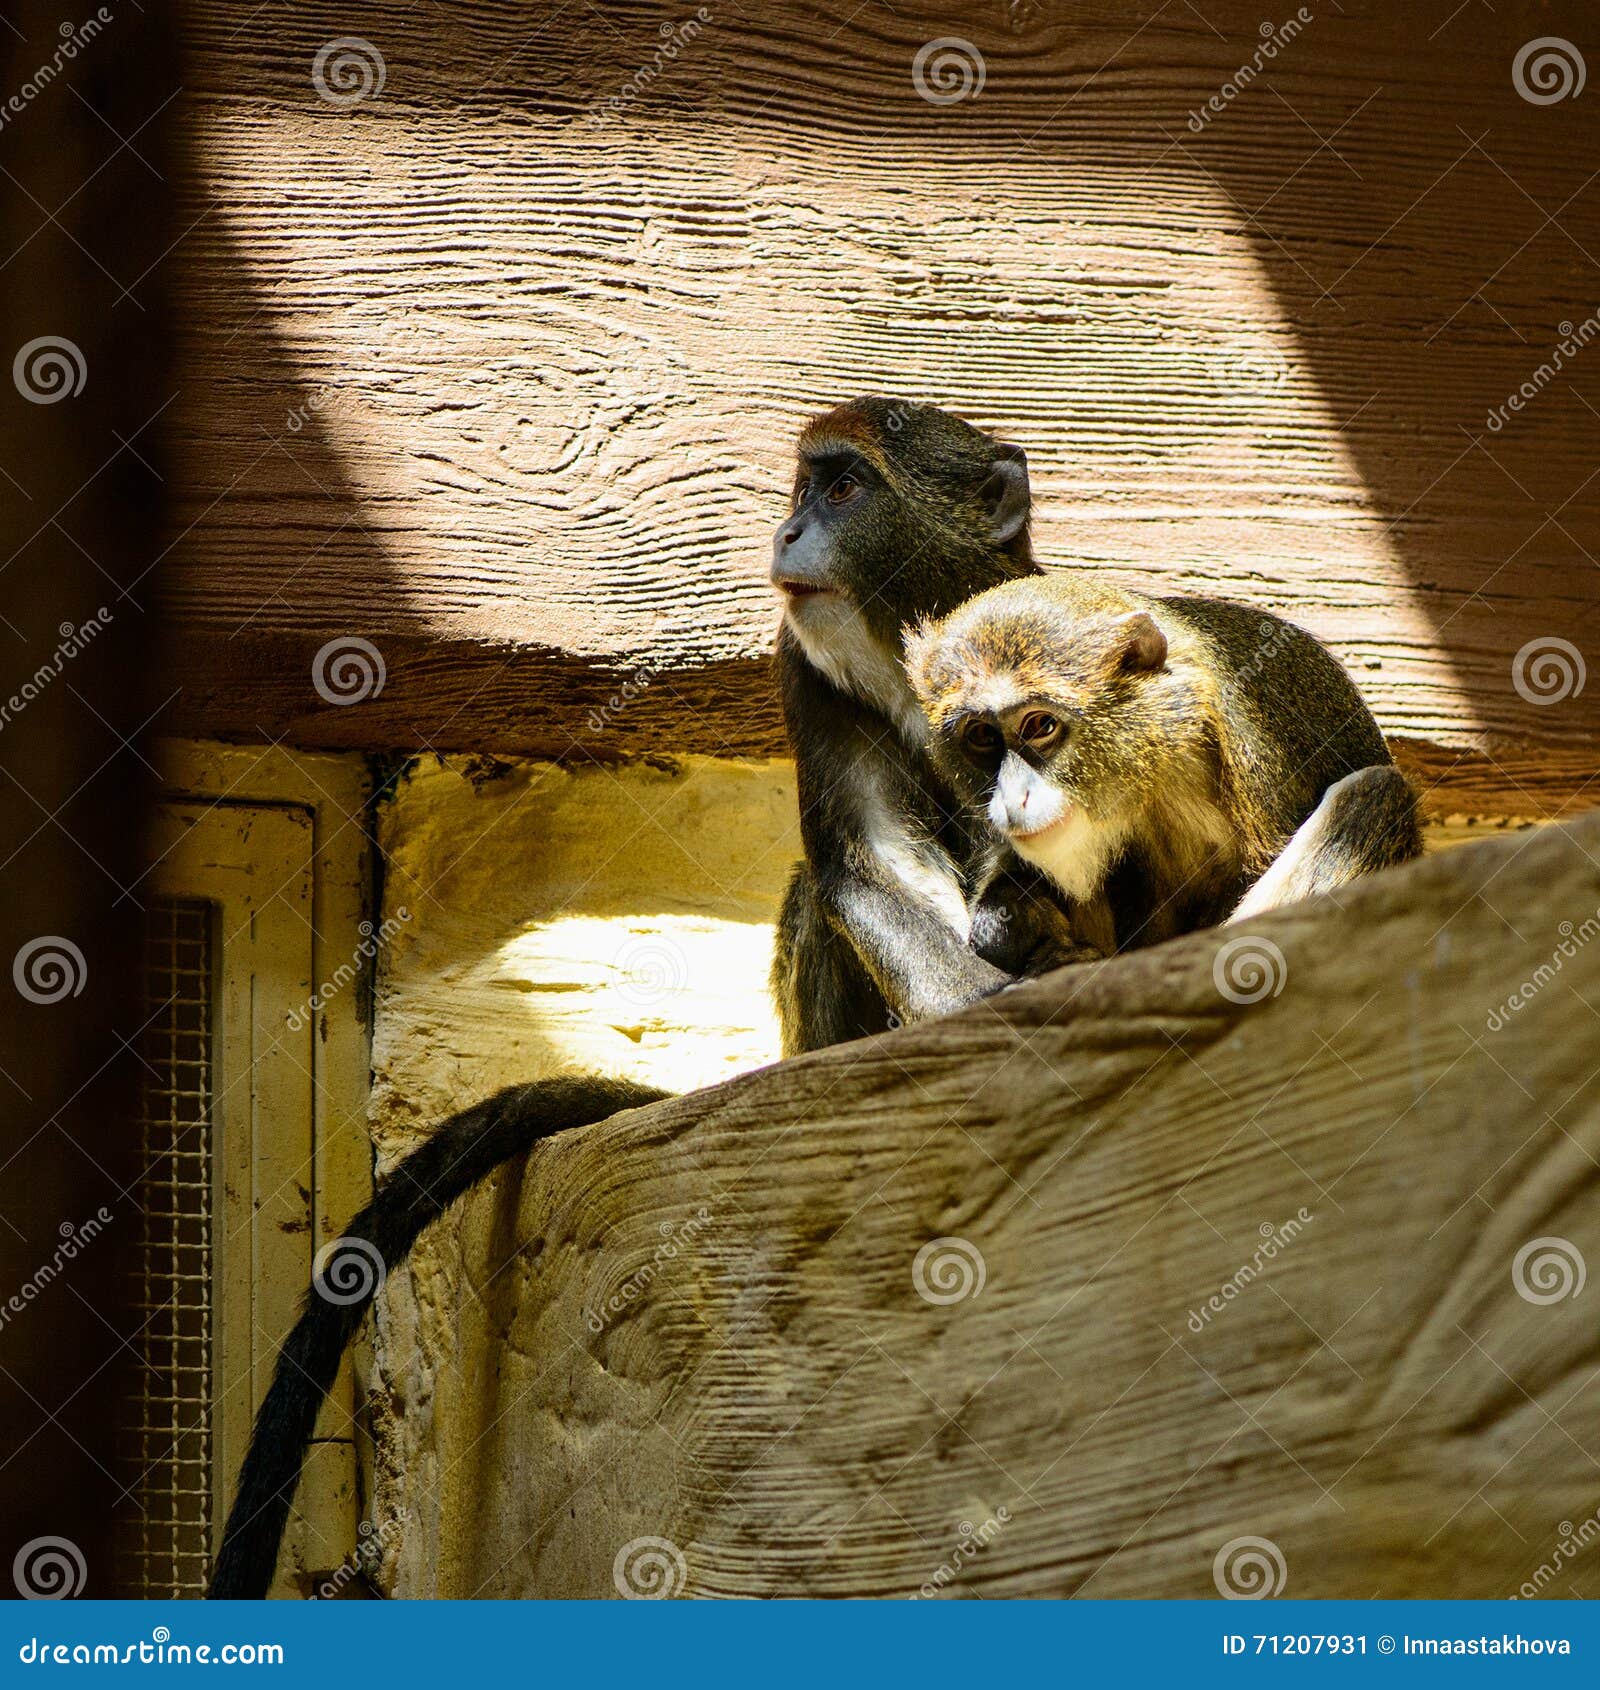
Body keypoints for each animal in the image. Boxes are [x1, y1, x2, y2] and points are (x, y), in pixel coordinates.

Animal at [903, 574, 1422, 952]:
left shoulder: (1250, 740)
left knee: (1374, 793)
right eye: (982, 736)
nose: (1015, 797)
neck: (1151, 762)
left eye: (1039, 726)